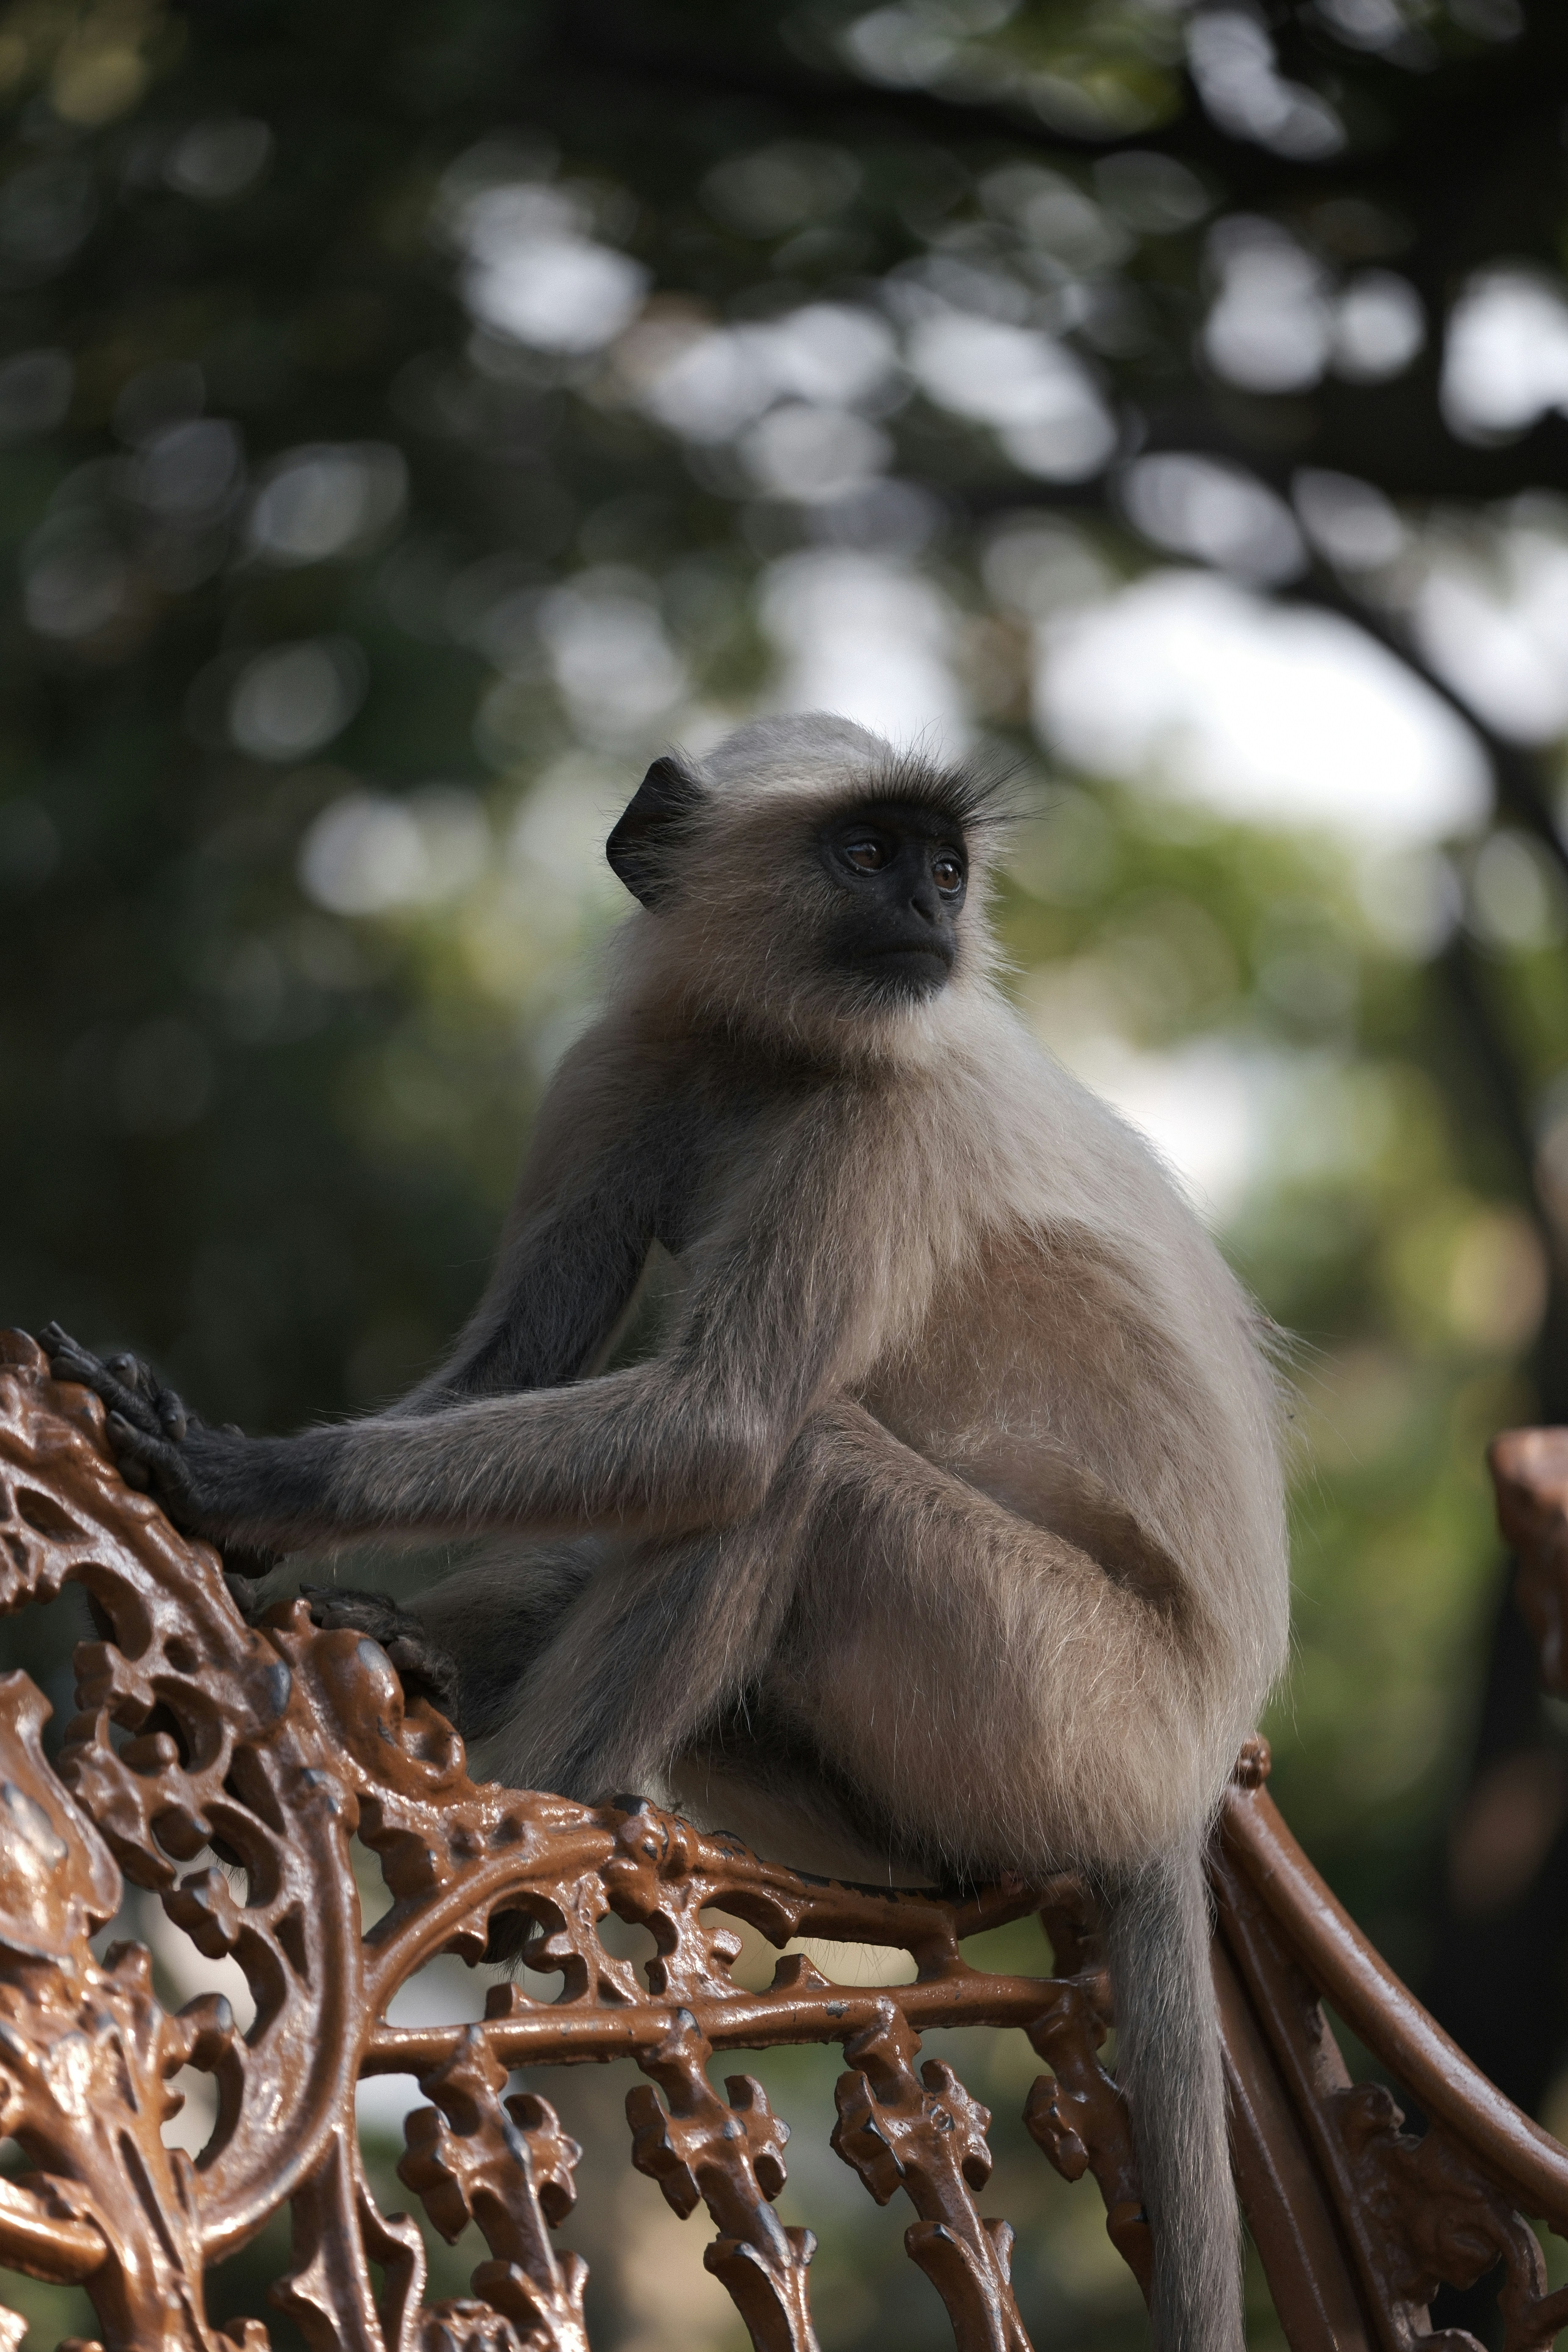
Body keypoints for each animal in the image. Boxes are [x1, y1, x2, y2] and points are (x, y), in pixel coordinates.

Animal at [44, 710, 1289, 2352]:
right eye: (871, 854)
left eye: (944, 868)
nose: (932, 910)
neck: (772, 1052)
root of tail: (1189, 1783)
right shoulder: (629, 1059)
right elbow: (531, 1348)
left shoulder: (886, 1127)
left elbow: (728, 1429)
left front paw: (245, 1483)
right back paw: (439, 1687)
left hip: (1067, 1702)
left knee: (802, 1462)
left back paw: (534, 1812)